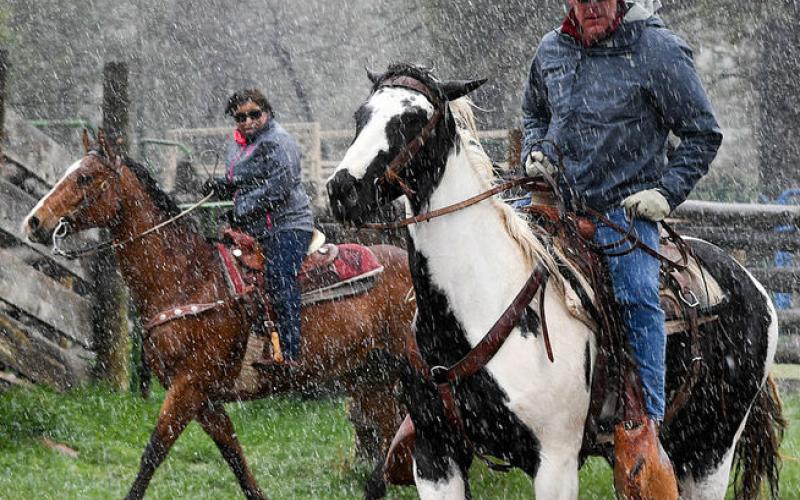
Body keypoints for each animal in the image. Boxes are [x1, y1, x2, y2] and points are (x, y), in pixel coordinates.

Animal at [22, 137, 415, 500]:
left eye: (85, 177)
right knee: (390, 433)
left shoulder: (190, 385)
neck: (188, 280)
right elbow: (234, 456)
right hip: (371, 376)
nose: (34, 221)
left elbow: (154, 451)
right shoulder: (207, 400)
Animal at [326, 63, 784, 499]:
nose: (342, 190)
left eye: (412, 118)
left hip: (711, 451)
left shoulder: (555, 461)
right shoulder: (435, 456)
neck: (480, 305)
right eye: (361, 115)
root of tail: (752, 284)